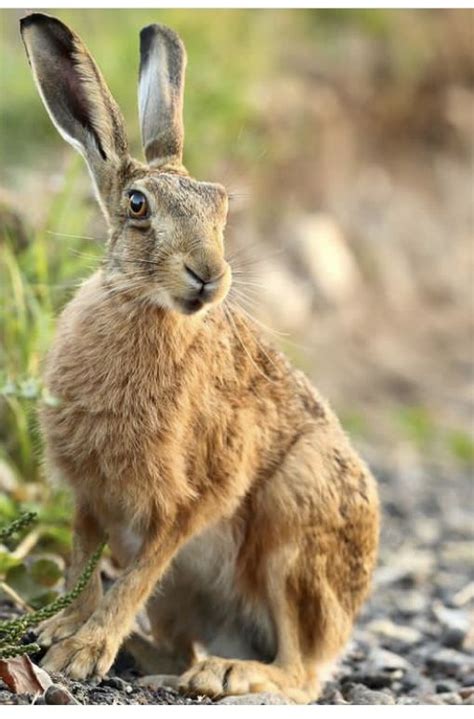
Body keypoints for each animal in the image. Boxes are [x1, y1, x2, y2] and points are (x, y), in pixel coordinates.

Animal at [20, 12, 380, 703]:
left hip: (296, 517)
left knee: (302, 674)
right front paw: (59, 628)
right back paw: (154, 658)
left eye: (223, 207)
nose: (209, 275)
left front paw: (81, 652)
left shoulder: (196, 494)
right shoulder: (89, 490)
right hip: (191, 595)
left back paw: (226, 672)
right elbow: (85, 559)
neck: (145, 310)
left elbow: (139, 571)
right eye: (137, 205)